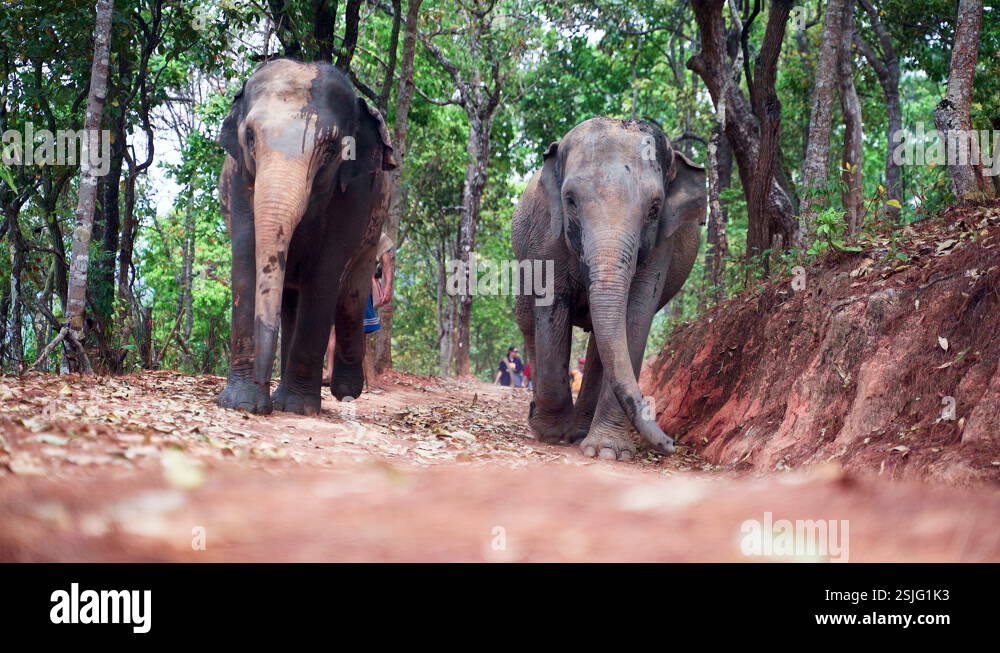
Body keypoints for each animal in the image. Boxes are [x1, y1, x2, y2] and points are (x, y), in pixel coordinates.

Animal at [215, 59, 395, 415]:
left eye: (329, 148)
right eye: (250, 138)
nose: (263, 405)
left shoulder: (354, 192)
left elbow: (324, 274)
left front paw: (297, 407)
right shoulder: (241, 180)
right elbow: (246, 262)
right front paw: (241, 403)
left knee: (351, 293)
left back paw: (343, 390)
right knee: (290, 301)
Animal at [512, 117, 706, 460]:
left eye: (655, 208)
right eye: (570, 200)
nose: (671, 443)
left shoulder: (661, 247)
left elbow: (635, 318)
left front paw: (608, 452)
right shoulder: (548, 235)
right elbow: (552, 308)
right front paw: (551, 434)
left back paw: (580, 433)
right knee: (528, 323)